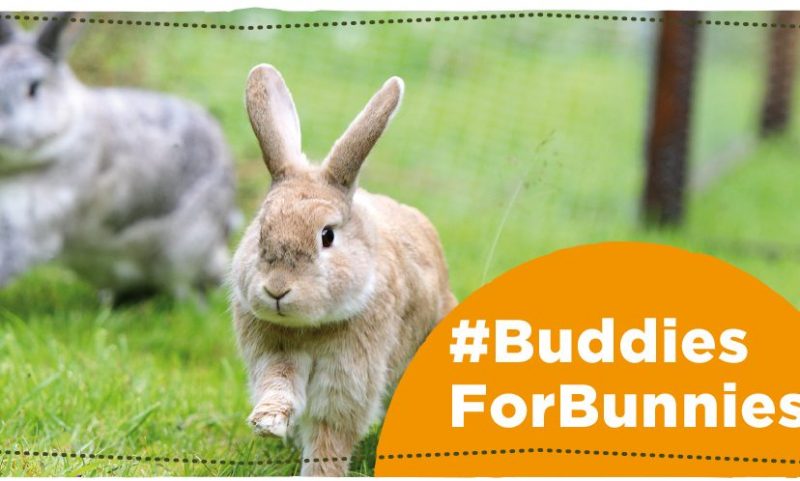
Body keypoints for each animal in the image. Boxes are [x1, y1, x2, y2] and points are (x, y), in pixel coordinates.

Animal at [230, 64, 458, 476]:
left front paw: (319, 474)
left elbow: (329, 435)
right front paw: (268, 423)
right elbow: (279, 385)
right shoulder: (275, 355)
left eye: (327, 236)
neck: (310, 328)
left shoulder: (349, 379)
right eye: (260, 229)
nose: (277, 289)